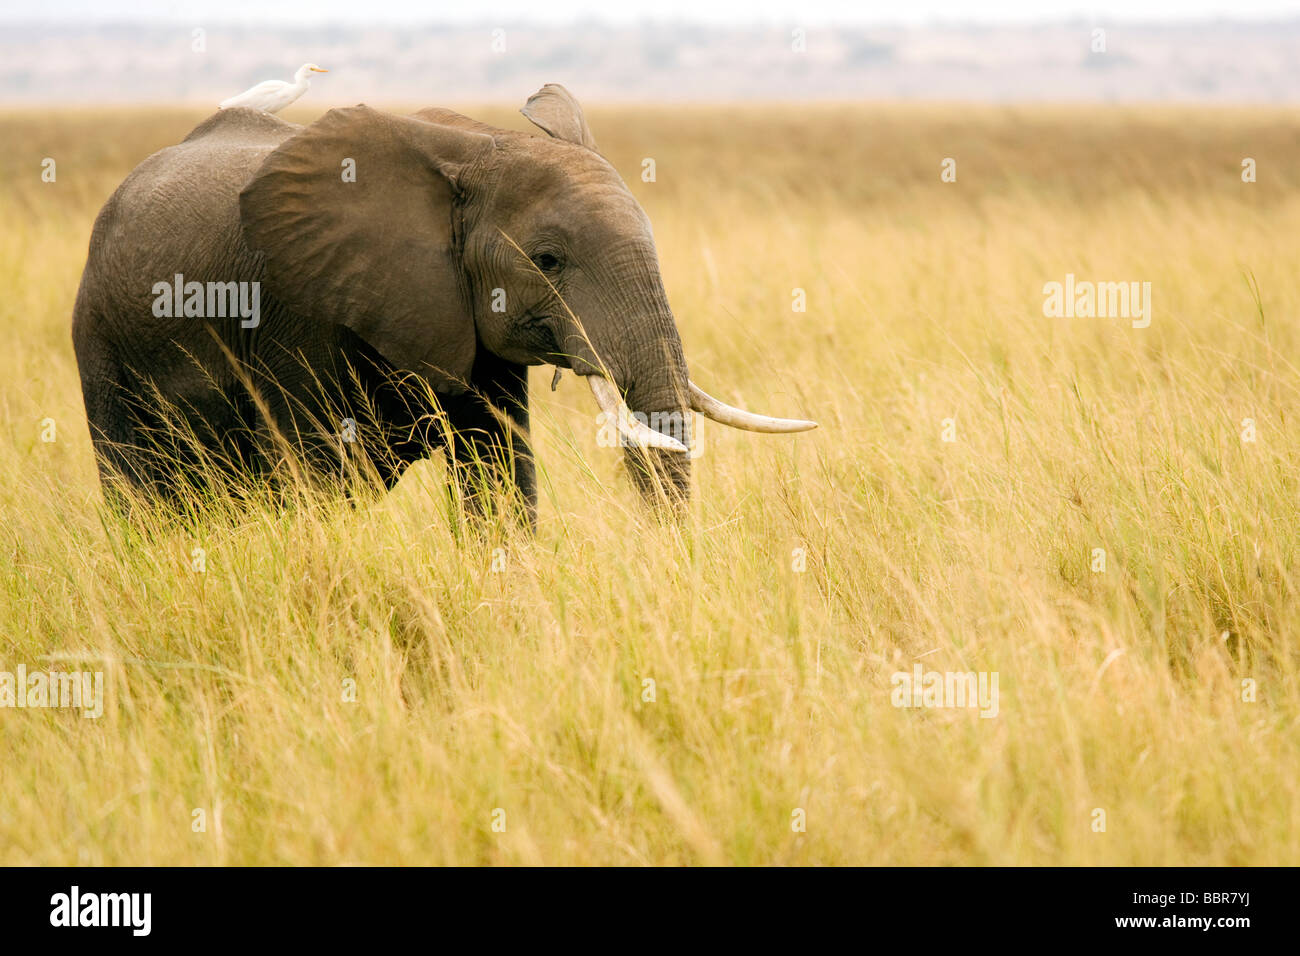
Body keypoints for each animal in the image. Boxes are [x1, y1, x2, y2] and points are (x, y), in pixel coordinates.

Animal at [71, 83, 816, 524]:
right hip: (98, 341)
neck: (476, 145)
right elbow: (318, 476)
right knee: (140, 494)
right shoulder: (293, 310)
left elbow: (497, 467)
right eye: (548, 260)